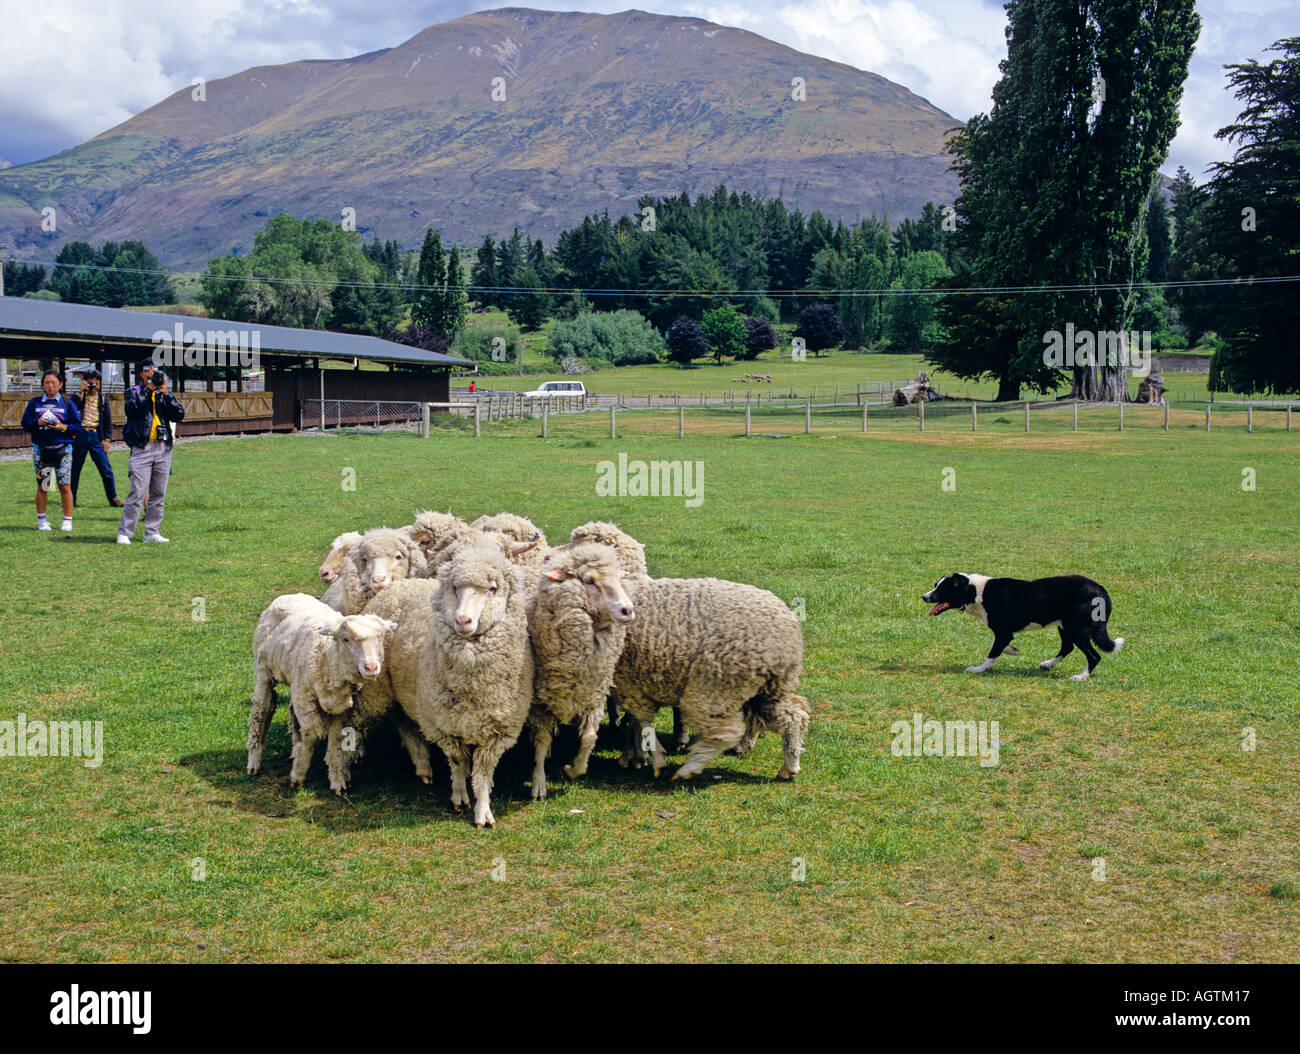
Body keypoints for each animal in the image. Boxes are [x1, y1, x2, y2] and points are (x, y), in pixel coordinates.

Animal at [246, 593, 397, 793]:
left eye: (380, 637)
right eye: (346, 639)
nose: (371, 668)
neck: (327, 658)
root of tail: (290, 595)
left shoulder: (343, 708)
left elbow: (337, 741)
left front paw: (337, 780)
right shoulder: (306, 698)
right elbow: (311, 735)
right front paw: (298, 774)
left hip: (294, 683)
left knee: (292, 713)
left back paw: (295, 746)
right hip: (264, 671)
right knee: (262, 711)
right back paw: (253, 762)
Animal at [378, 548, 534, 828]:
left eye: (492, 589)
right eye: (454, 588)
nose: (462, 620)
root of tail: (404, 582)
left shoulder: (498, 732)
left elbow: (483, 774)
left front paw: (483, 810)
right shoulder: (443, 726)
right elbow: (458, 762)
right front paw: (460, 796)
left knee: (405, 723)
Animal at [525, 543, 636, 799]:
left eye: (619, 578)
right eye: (589, 580)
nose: (627, 610)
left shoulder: (593, 694)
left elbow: (589, 738)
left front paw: (573, 769)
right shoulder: (540, 702)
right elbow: (541, 739)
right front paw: (539, 783)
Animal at [610, 577, 810, 782]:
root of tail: (789, 624)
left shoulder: (628, 684)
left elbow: (639, 720)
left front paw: (635, 756)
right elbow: (638, 722)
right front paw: (635, 755)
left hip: (717, 686)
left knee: (724, 732)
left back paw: (690, 767)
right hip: (770, 686)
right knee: (793, 717)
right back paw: (788, 767)